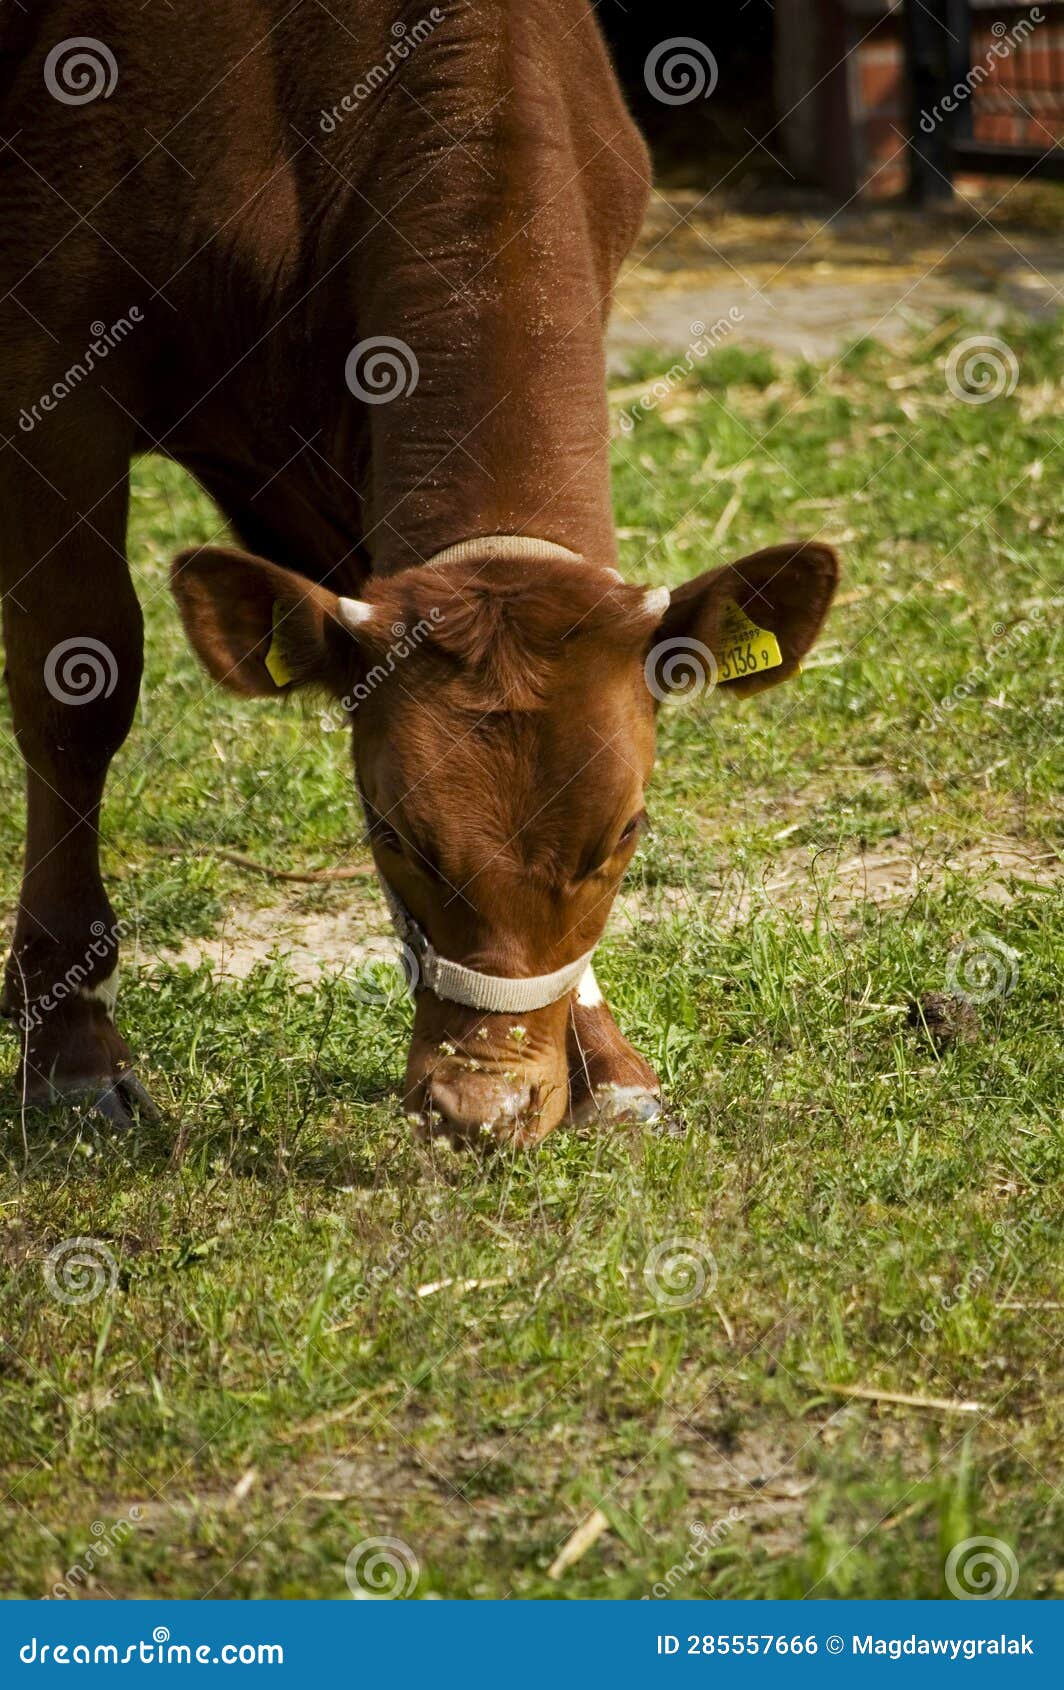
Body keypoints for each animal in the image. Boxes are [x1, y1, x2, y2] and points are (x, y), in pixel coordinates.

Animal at [0, 1, 836, 1145]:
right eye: (391, 830)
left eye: (625, 833)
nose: (480, 1106)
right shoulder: (50, 359)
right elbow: (74, 692)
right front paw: (73, 1048)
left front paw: (603, 1059)